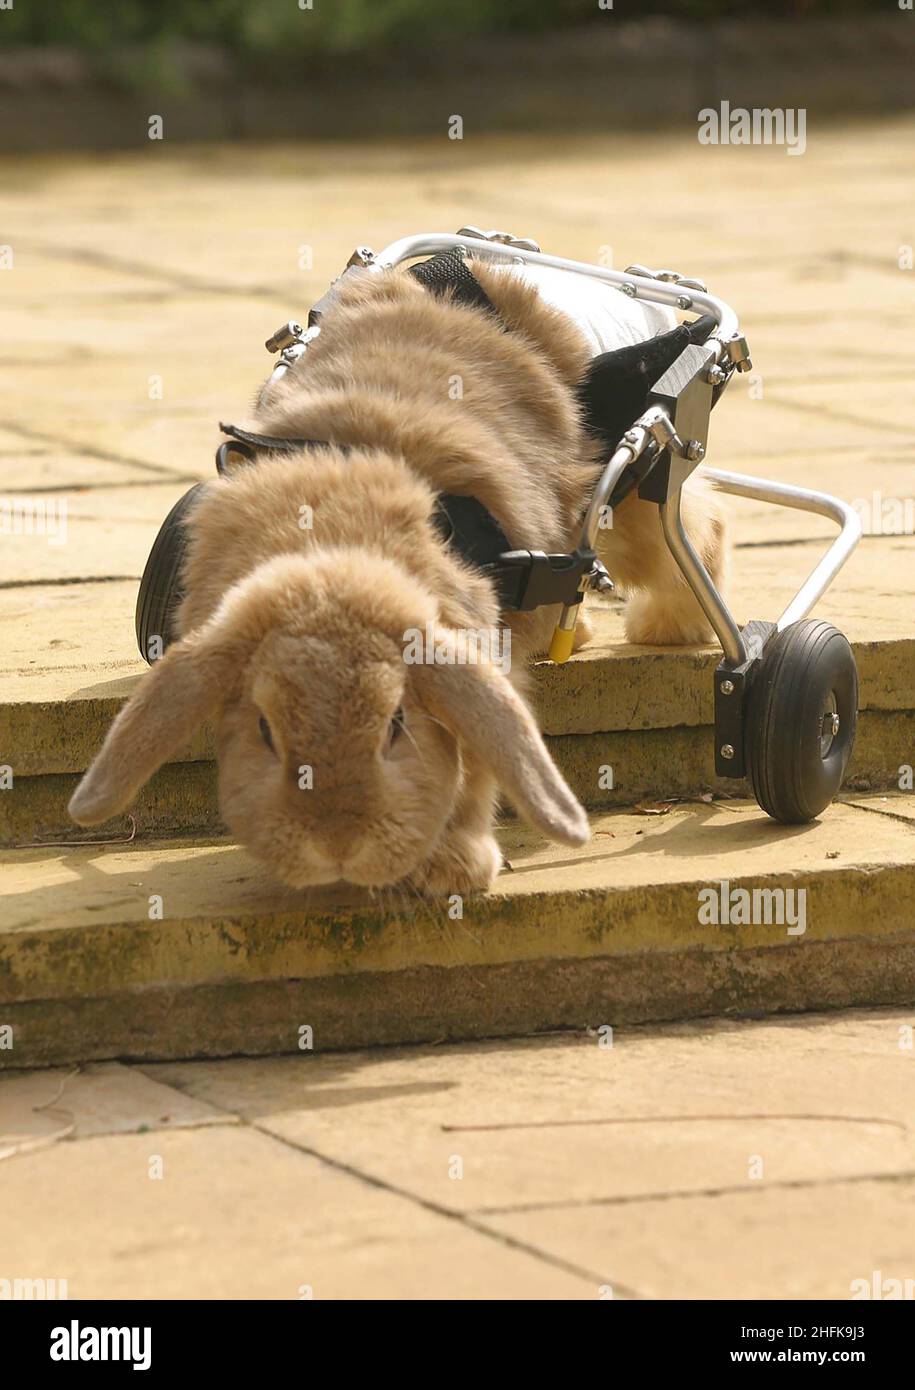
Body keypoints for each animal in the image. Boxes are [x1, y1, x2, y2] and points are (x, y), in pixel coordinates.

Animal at [69, 257, 727, 894]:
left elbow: (478, 764)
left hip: (627, 492)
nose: (335, 848)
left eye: (396, 725)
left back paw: (671, 629)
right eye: (265, 730)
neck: (333, 549)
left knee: (697, 525)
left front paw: (452, 871)